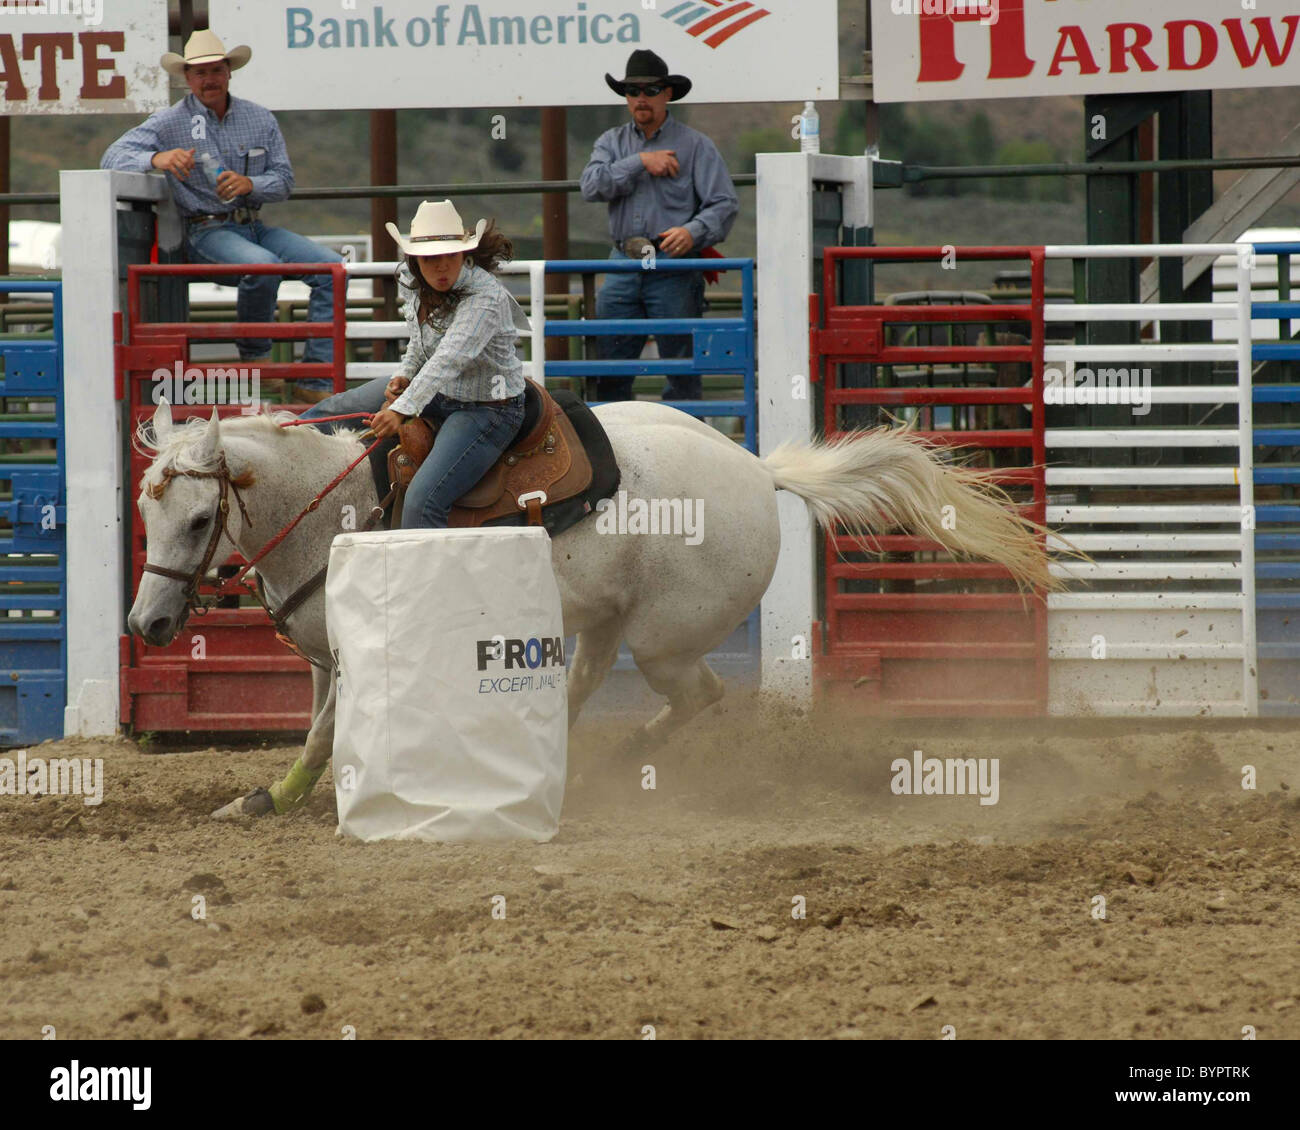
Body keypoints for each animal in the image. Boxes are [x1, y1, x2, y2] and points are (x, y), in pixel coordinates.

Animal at [128, 397, 1055, 820]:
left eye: (202, 519)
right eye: (146, 509)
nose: (149, 626)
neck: (337, 512)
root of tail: (760, 473)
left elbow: (329, 731)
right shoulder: (327, 656)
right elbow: (317, 732)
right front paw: (274, 796)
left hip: (663, 642)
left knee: (699, 695)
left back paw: (619, 762)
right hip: (608, 627)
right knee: (584, 690)